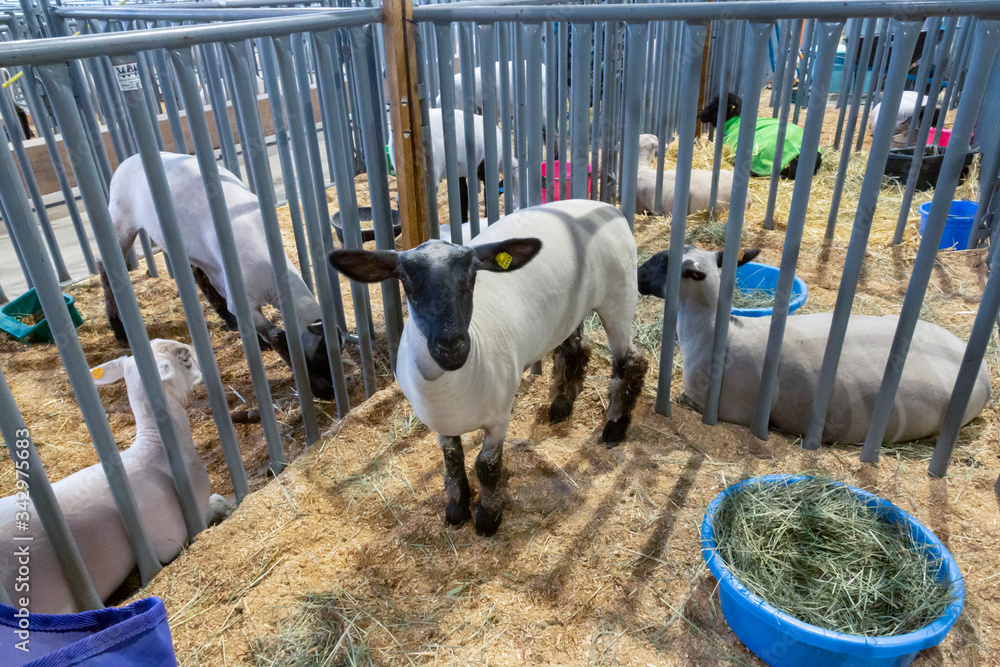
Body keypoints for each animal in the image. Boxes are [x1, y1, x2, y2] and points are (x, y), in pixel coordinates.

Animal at [100, 152, 340, 400]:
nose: (336, 382)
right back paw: (119, 330)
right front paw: (319, 387)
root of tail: (129, 159)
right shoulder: (245, 300)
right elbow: (278, 336)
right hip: (121, 223)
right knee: (106, 269)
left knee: (198, 273)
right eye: (324, 353)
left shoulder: (224, 275)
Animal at [330, 199, 648, 536]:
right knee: (575, 351)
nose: (452, 346)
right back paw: (561, 407)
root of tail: (604, 206)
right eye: (405, 278)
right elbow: (453, 460)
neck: (451, 383)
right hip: (569, 313)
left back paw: (615, 427)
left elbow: (487, 466)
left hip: (619, 298)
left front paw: (487, 517)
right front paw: (457, 509)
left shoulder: (498, 420)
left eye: (472, 274)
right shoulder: (442, 422)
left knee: (629, 363)